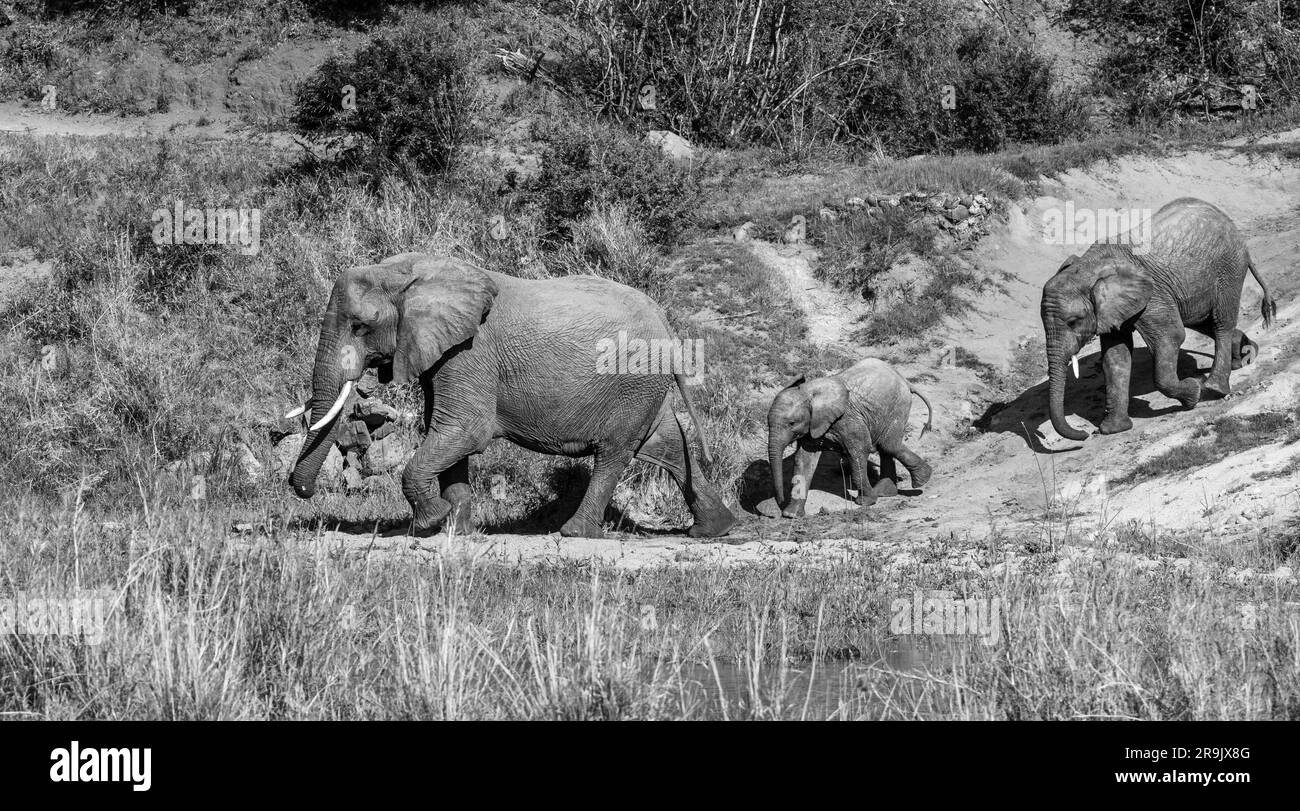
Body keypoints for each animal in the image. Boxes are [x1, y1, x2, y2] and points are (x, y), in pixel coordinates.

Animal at [286, 252, 736, 540]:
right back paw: (714, 530)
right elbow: (446, 433)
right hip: (644, 387)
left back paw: (576, 533)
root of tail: (665, 321)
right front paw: (457, 531)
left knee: (615, 452)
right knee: (667, 444)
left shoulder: (469, 353)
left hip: (631, 384)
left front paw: (431, 523)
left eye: (359, 326)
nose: (304, 492)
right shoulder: (443, 354)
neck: (407, 271)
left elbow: (465, 431)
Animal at [767, 358, 933, 518]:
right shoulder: (812, 426)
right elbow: (803, 460)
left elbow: (859, 451)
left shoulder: (848, 419)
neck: (809, 393)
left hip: (898, 406)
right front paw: (792, 515)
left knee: (888, 444)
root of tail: (905, 380)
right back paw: (886, 492)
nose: (779, 502)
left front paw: (866, 502)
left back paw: (921, 480)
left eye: (792, 423)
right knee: (886, 447)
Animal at [1042, 197, 1276, 441]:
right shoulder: (1112, 309)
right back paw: (1245, 354)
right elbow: (1116, 356)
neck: (1088, 267)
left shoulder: (1153, 294)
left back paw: (1214, 387)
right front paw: (1113, 429)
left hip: (1229, 267)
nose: (1086, 434)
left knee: (1221, 322)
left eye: (1073, 322)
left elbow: (1171, 337)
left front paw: (1193, 394)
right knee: (1203, 321)